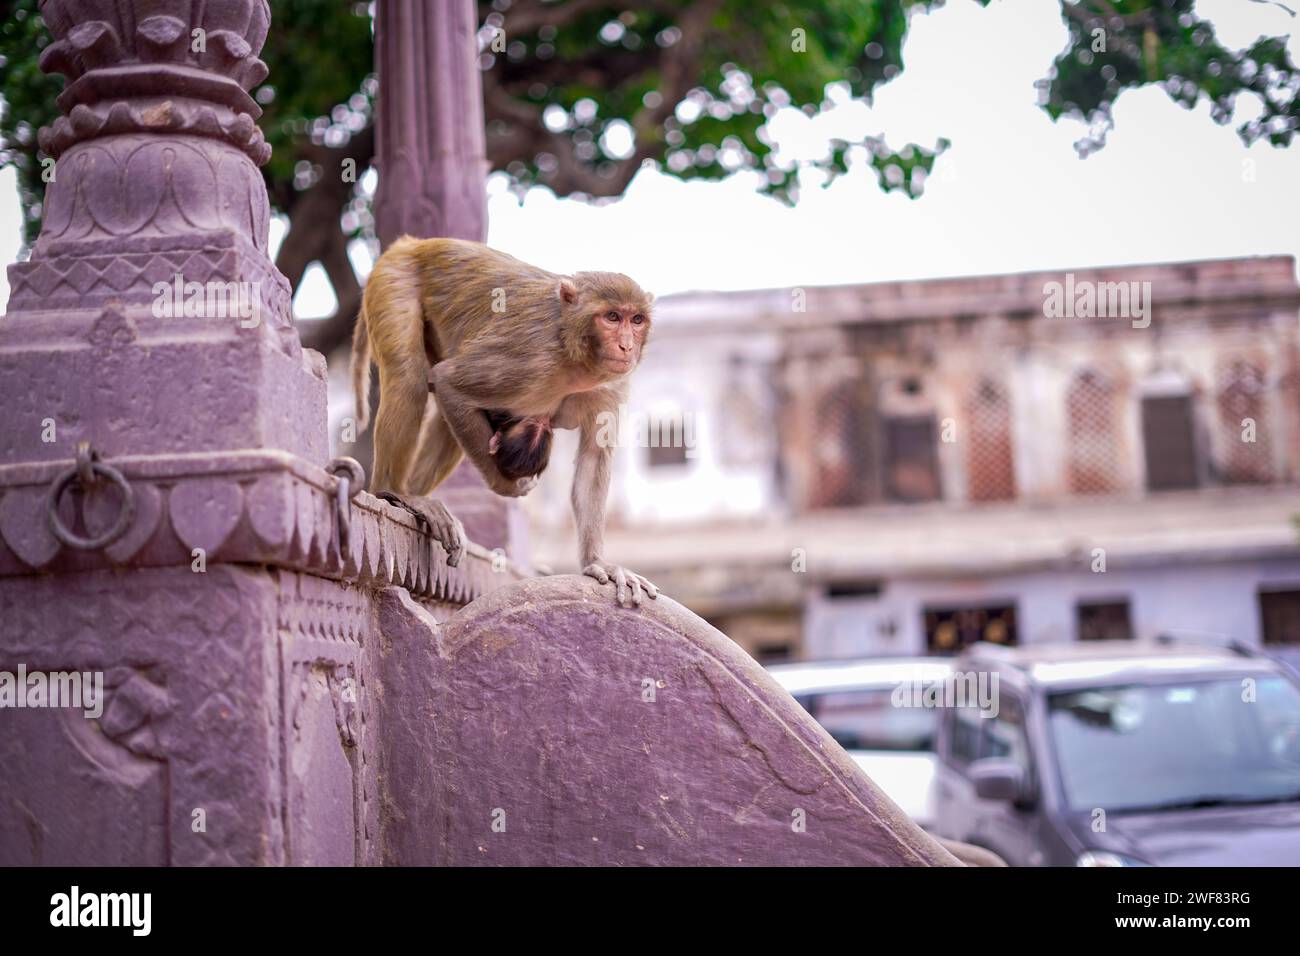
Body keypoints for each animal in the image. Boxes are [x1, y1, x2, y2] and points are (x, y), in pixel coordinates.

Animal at [351, 236, 658, 607]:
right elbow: (449, 382)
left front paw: (598, 563)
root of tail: (410, 243)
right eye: (612, 317)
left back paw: (414, 497)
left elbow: (593, 458)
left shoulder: (610, 384)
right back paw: (396, 492)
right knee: (410, 377)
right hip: (394, 278)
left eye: (636, 319)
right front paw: (506, 486)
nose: (626, 346)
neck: (574, 352)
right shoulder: (529, 357)